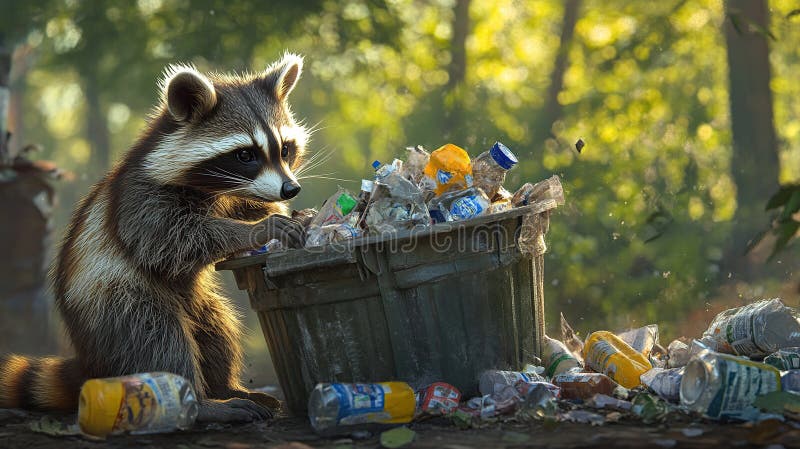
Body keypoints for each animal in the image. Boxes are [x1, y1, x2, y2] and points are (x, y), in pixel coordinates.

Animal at [0, 53, 310, 422]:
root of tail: (92, 363)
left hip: (194, 303)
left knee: (216, 329)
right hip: (113, 304)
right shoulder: (139, 196)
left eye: (285, 149)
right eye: (245, 154)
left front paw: (274, 209)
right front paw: (256, 228)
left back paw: (225, 386)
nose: (291, 189)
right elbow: (168, 240)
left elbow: (236, 209)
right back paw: (200, 404)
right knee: (158, 340)